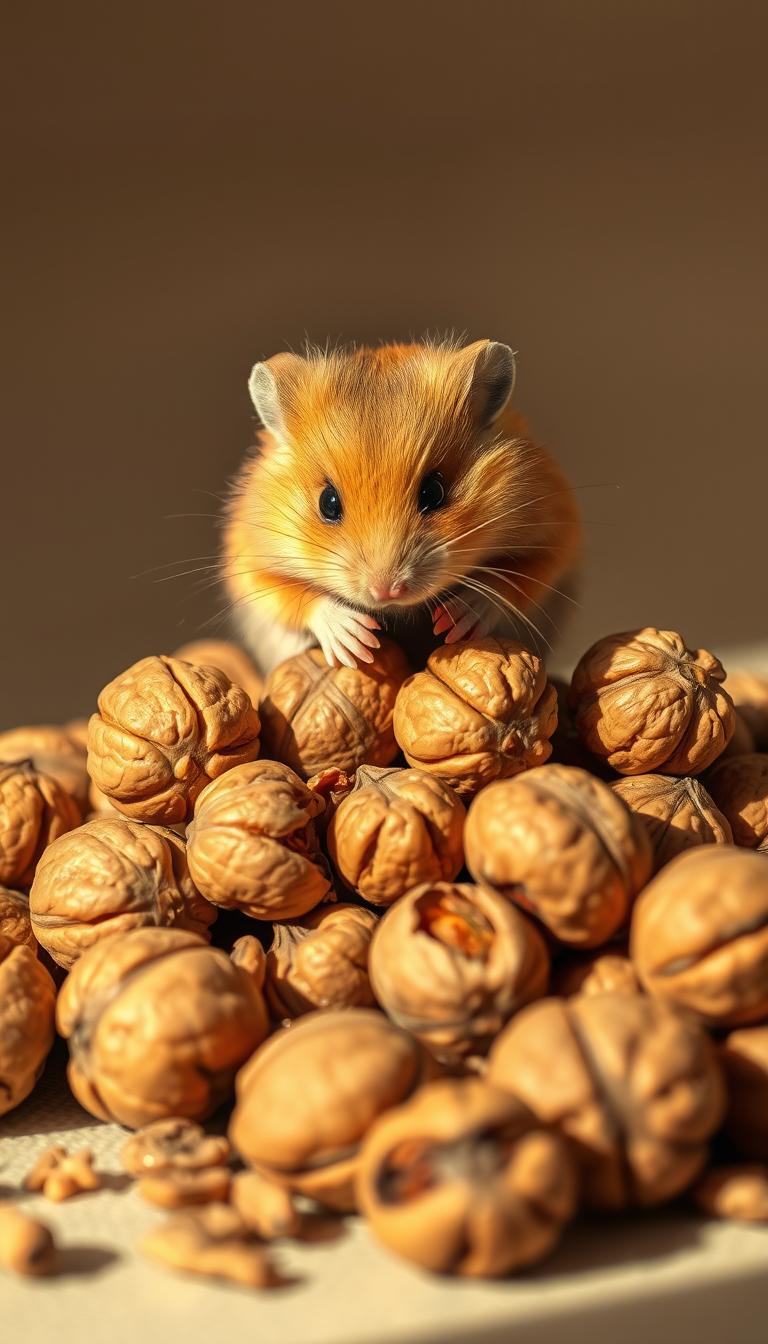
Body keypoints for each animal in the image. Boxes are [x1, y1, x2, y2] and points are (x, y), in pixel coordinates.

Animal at [223, 338, 581, 674]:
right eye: (328, 503)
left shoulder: (555, 536)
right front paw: (358, 640)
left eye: (434, 492)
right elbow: (292, 595)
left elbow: (512, 583)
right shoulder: (250, 562)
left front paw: (455, 619)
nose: (387, 592)